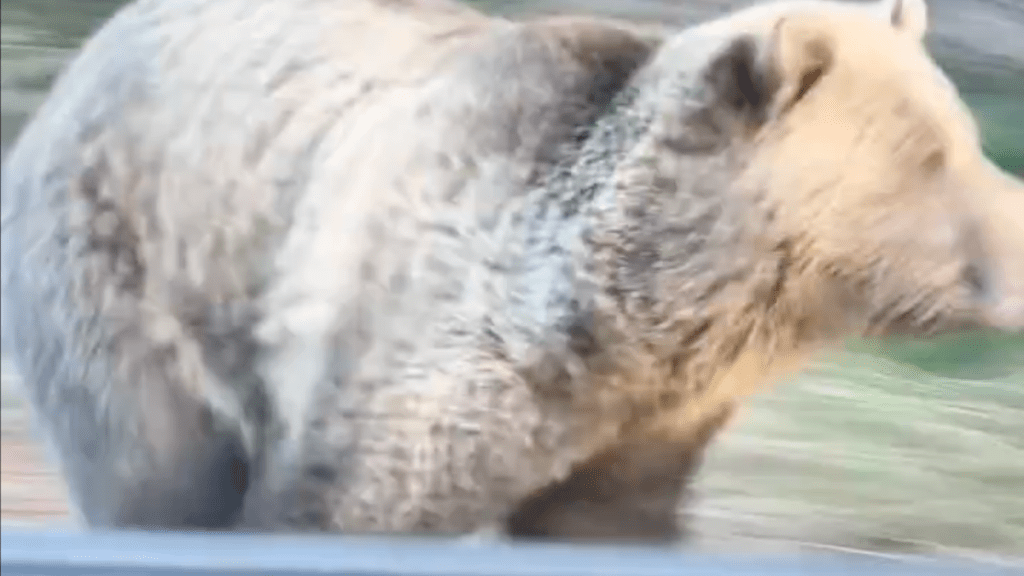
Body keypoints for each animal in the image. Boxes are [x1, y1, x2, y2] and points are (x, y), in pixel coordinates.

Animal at [1, 0, 1022, 542]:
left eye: (961, 135)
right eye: (928, 154)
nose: (1019, 248)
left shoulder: (647, 429)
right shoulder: (433, 362)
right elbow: (344, 504)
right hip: (119, 266)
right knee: (156, 470)